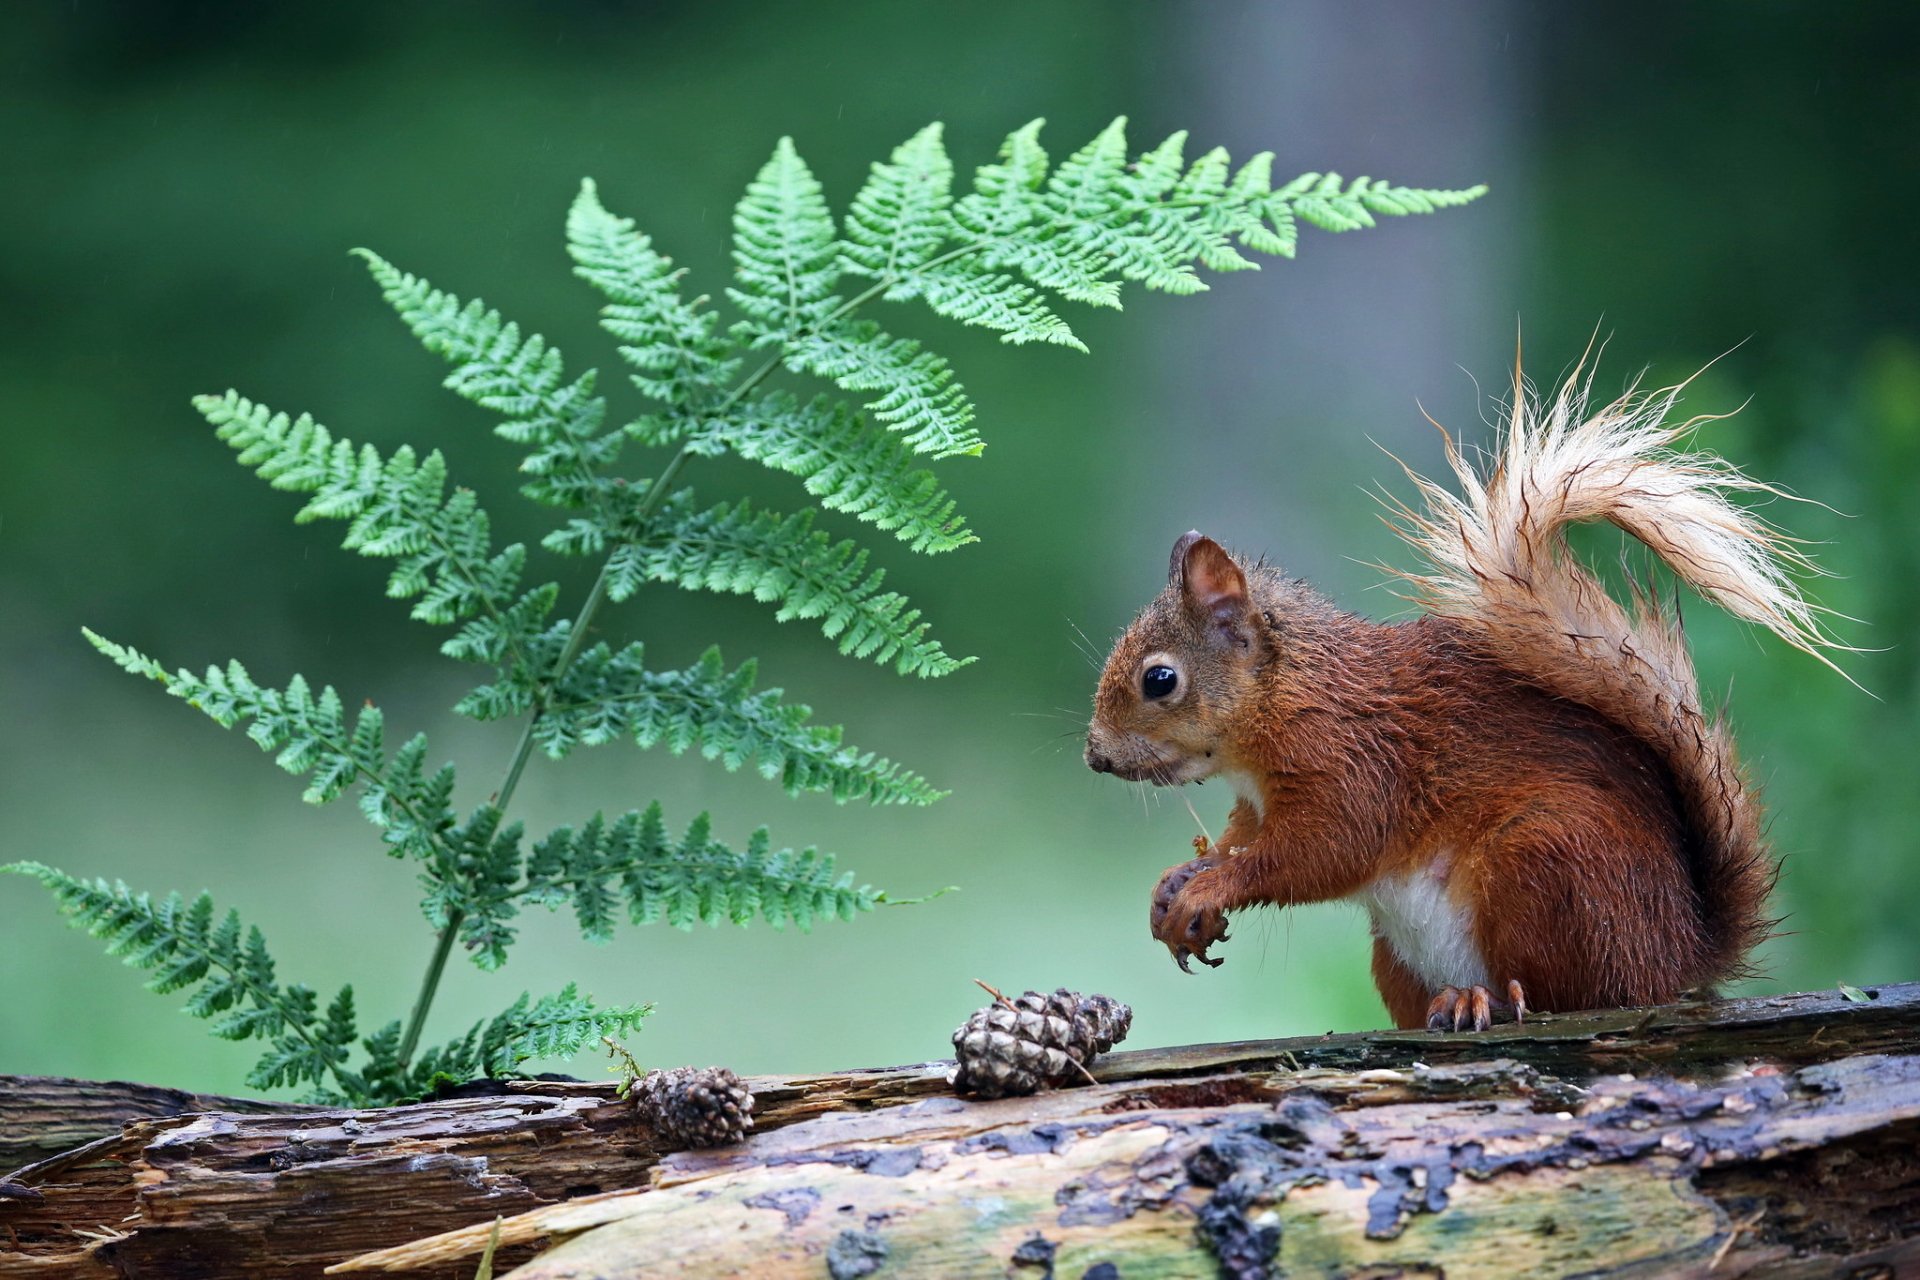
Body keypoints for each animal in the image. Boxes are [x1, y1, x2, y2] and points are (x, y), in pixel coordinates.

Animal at [1085, 362, 1844, 1031]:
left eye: (1159, 680)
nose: (1095, 757)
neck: (1291, 691)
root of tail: (1681, 958)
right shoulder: (1260, 799)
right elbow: (1240, 837)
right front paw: (1176, 882)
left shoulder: (1355, 759)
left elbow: (1320, 852)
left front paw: (1211, 886)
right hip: (1401, 953)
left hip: (1551, 860)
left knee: (1575, 993)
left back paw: (1490, 1001)